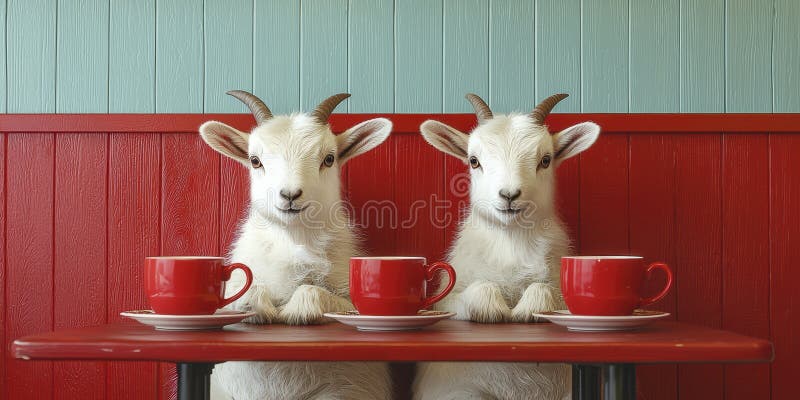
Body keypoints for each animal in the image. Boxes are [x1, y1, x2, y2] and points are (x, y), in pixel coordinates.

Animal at [200, 91, 393, 399]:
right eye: (255, 160)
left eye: (329, 158)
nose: (290, 195)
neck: (294, 243)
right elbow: (248, 294)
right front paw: (264, 310)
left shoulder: (350, 300)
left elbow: (312, 292)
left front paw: (293, 311)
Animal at [412, 93, 600, 400]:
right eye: (473, 160)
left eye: (545, 159)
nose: (509, 195)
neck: (511, 246)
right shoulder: (447, 298)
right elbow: (479, 292)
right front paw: (498, 311)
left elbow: (544, 290)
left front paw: (525, 311)